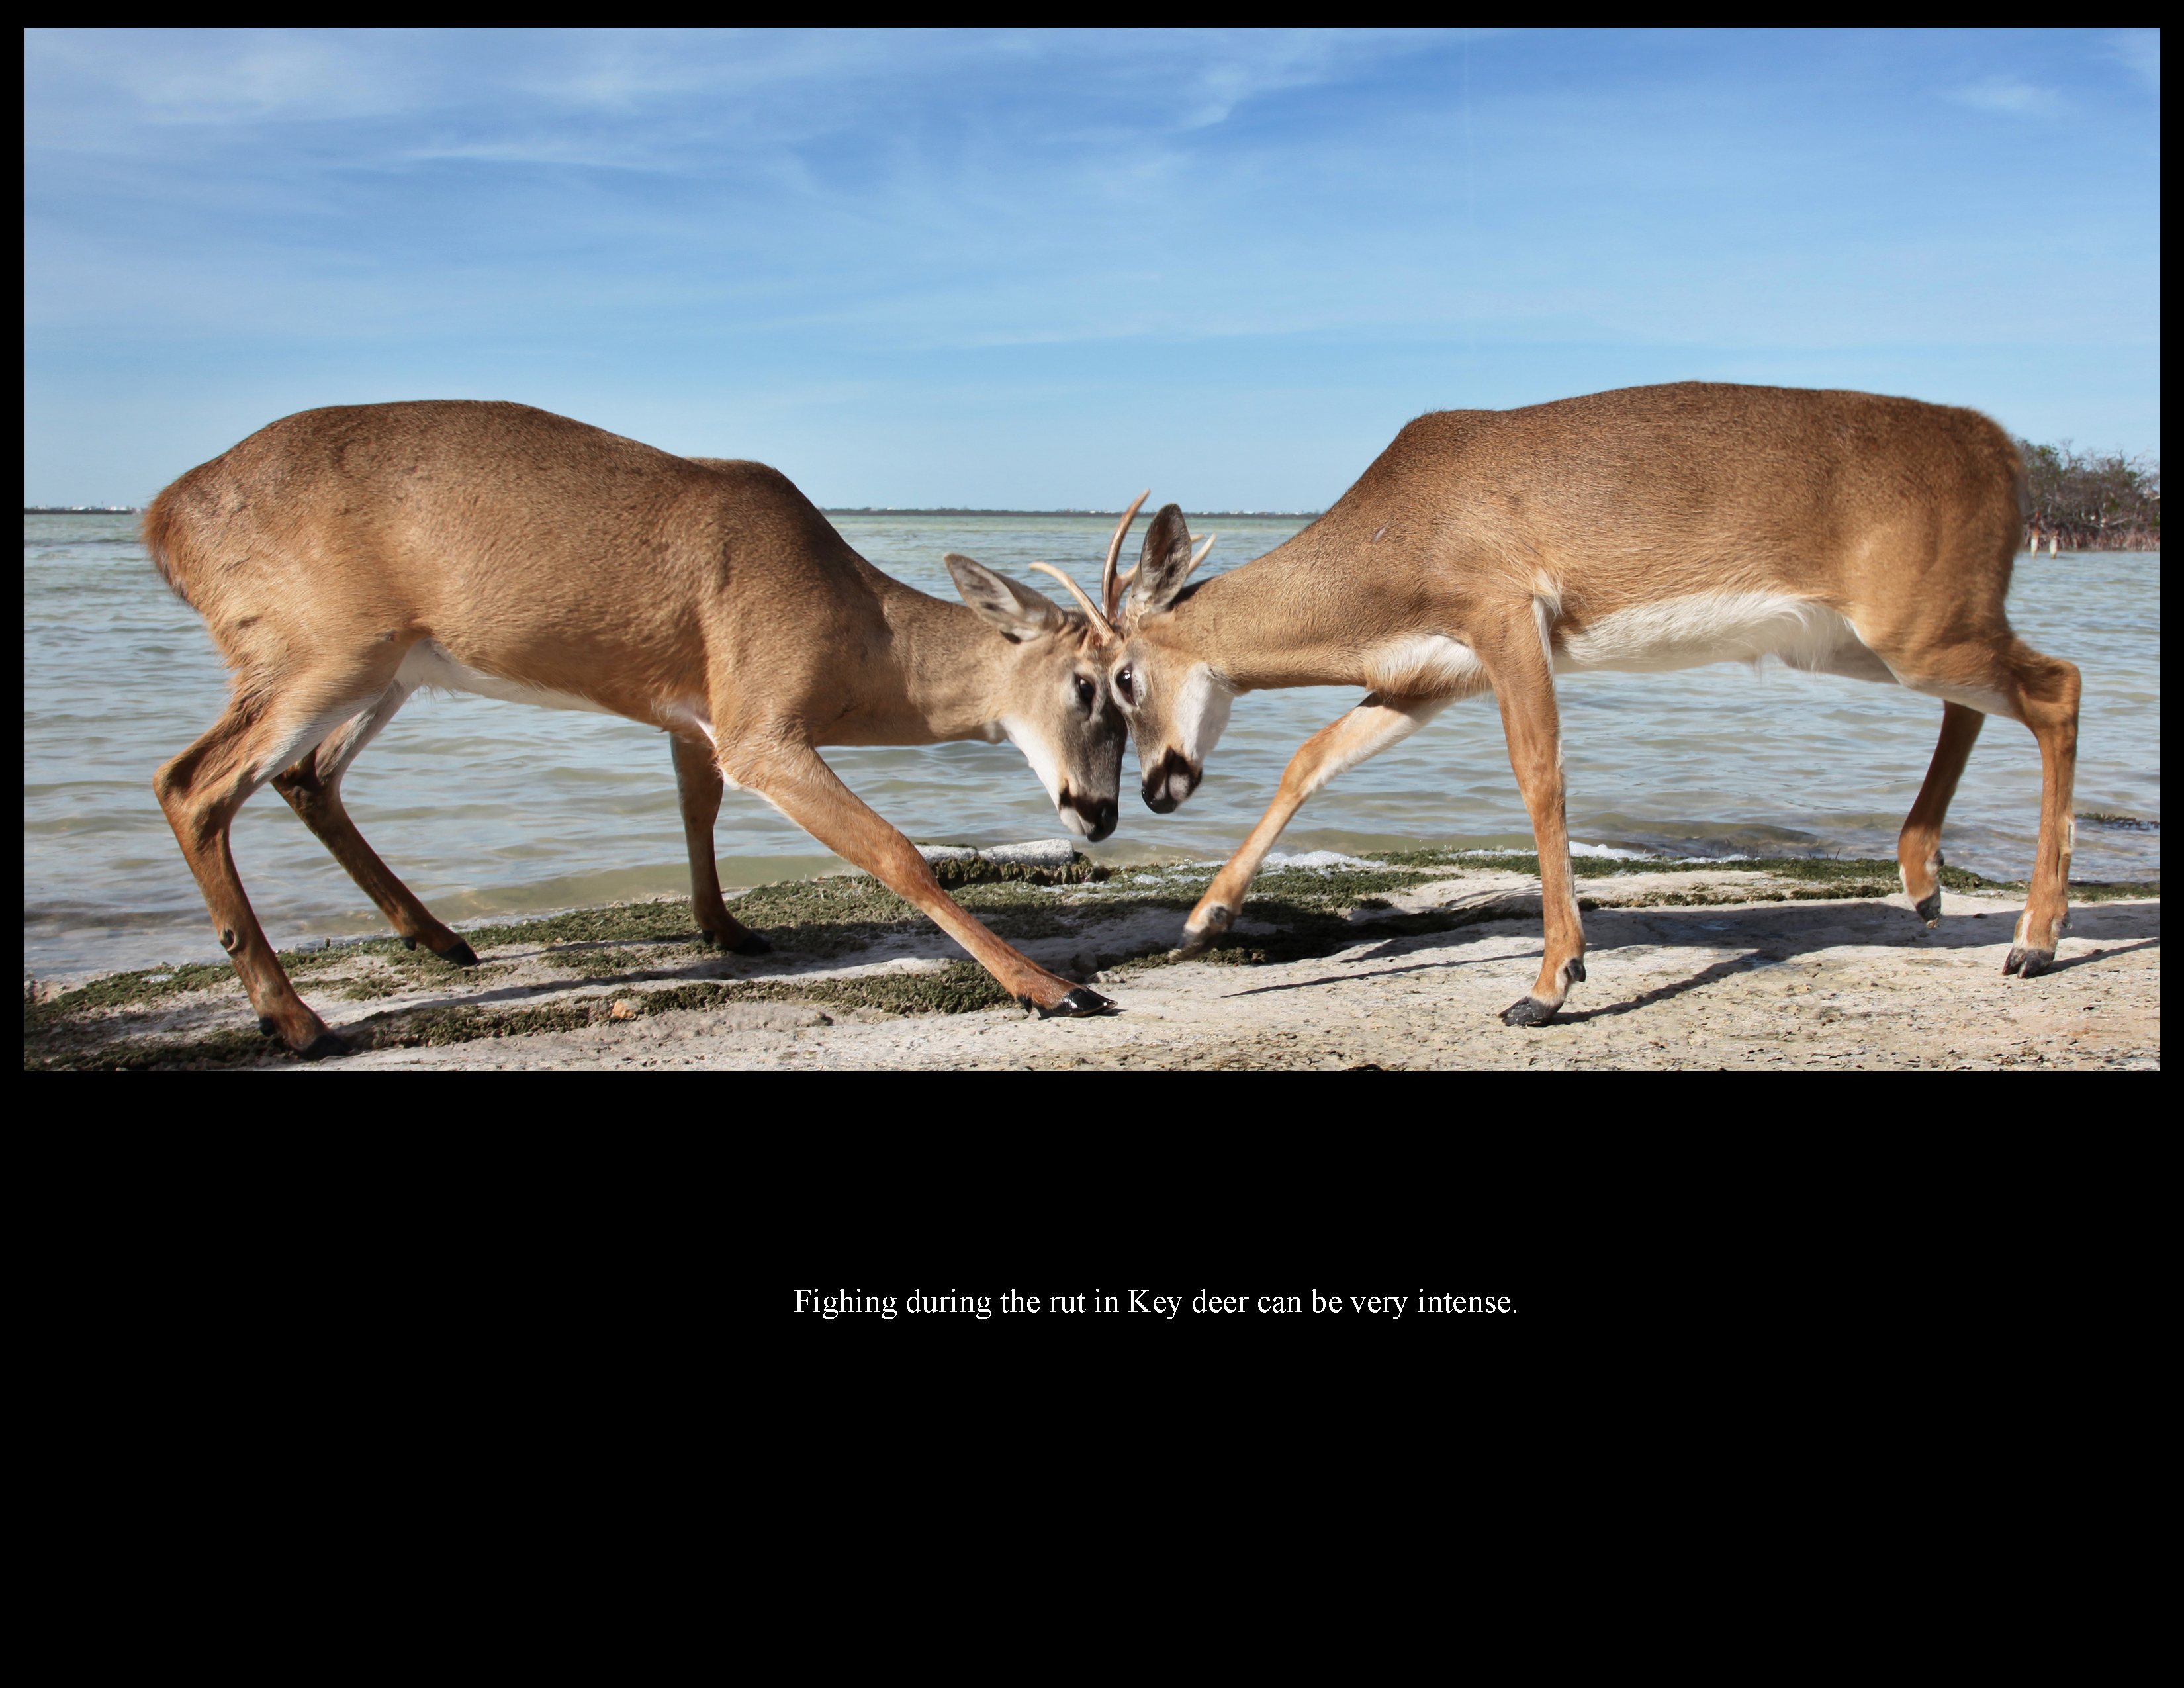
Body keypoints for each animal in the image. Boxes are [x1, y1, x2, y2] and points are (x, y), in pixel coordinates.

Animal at [143, 400, 1140, 1059]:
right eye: (1091, 686)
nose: (1098, 815)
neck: (856, 629)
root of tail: (163, 517)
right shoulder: (760, 721)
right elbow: (896, 850)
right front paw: (1054, 989)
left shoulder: (694, 715)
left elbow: (697, 812)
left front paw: (725, 929)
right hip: (321, 650)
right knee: (190, 782)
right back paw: (297, 1019)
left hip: (387, 668)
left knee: (304, 775)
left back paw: (437, 939)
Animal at [1047, 382, 2082, 1027]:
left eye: (1123, 676)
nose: (1156, 791)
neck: (1392, 531)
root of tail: (1997, 447)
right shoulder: (1431, 677)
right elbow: (1313, 757)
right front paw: (1200, 924)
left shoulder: (1508, 621)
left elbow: (1540, 779)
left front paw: (1549, 985)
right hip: (1868, 642)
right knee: (1989, 704)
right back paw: (1926, 883)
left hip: (1917, 629)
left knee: (2059, 687)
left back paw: (2033, 940)